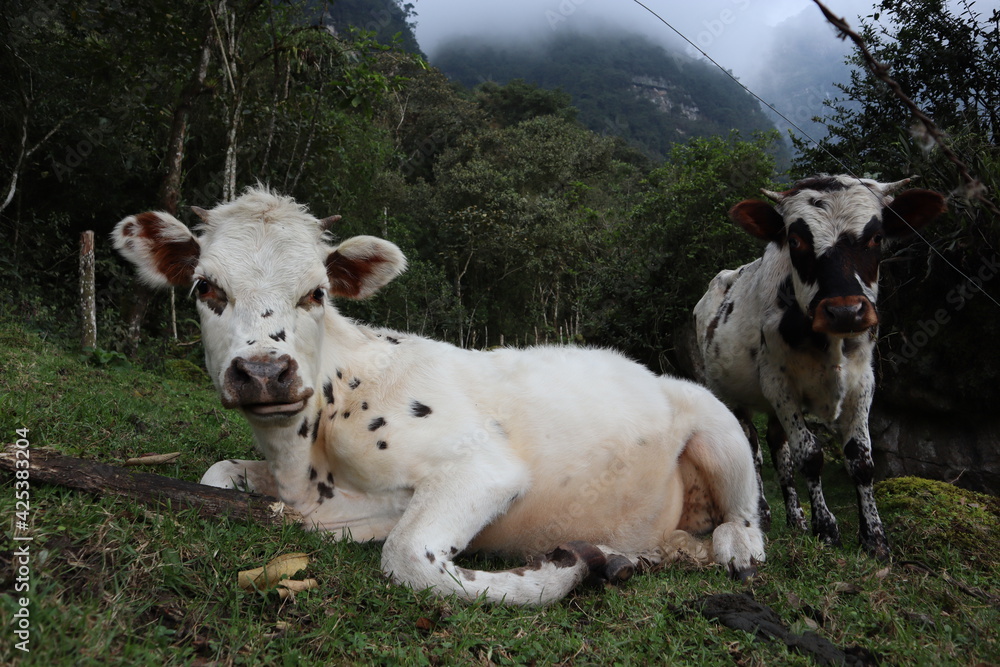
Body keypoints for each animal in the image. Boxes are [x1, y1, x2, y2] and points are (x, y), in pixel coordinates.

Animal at [112, 187, 765, 606]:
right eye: (206, 287)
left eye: (316, 292)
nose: (265, 371)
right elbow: (216, 473)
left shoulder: (483, 466)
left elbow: (406, 557)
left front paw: (571, 565)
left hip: (722, 424)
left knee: (745, 519)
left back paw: (733, 549)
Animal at [689, 174, 946, 560]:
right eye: (796, 240)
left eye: (876, 237)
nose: (845, 311)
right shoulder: (778, 384)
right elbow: (809, 454)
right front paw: (826, 529)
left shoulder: (863, 381)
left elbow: (861, 459)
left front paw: (874, 538)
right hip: (732, 395)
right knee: (753, 449)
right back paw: (763, 513)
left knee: (778, 449)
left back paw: (794, 517)